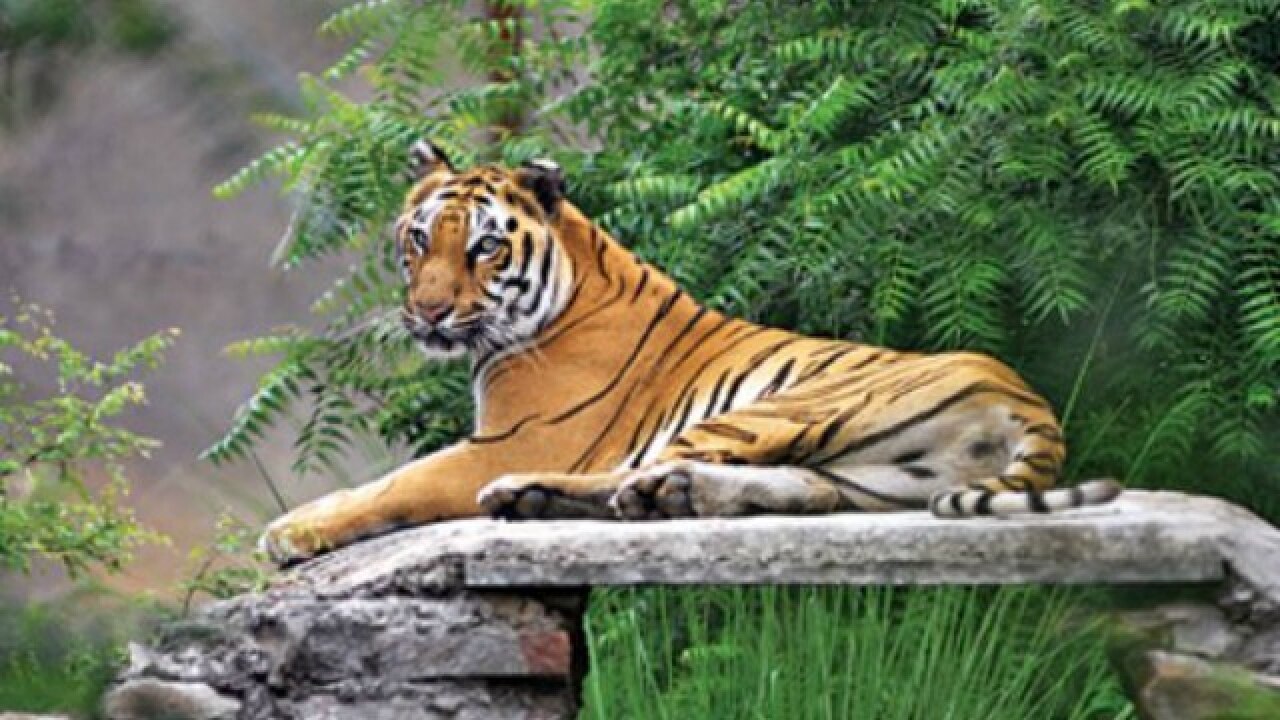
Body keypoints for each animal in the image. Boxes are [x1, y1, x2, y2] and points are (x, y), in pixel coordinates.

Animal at [259, 140, 1122, 565]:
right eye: (417, 240)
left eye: (484, 249)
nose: (429, 312)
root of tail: (1029, 404)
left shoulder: (509, 439)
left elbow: (393, 484)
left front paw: (291, 532)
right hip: (876, 478)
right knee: (803, 492)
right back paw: (656, 497)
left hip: (782, 405)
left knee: (624, 480)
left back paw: (537, 495)